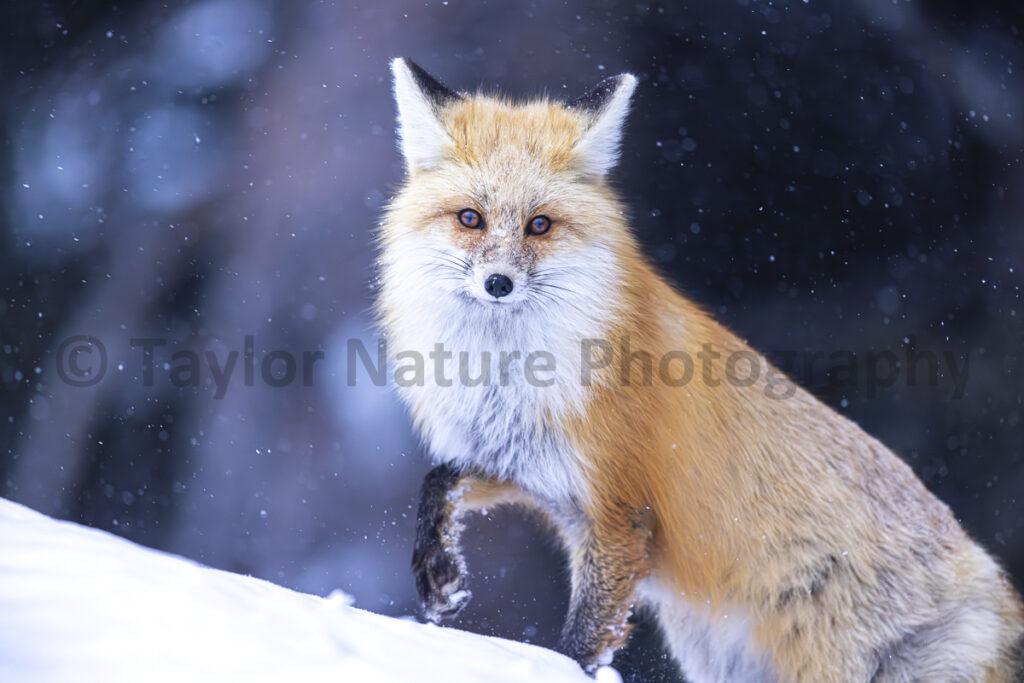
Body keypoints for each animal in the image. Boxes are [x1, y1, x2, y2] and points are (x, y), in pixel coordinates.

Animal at [376, 58, 1024, 682]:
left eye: (540, 224)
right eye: (470, 218)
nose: (498, 283)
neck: (506, 377)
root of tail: (994, 581)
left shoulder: (619, 512)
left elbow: (582, 642)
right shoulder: (528, 471)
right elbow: (439, 480)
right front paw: (436, 573)